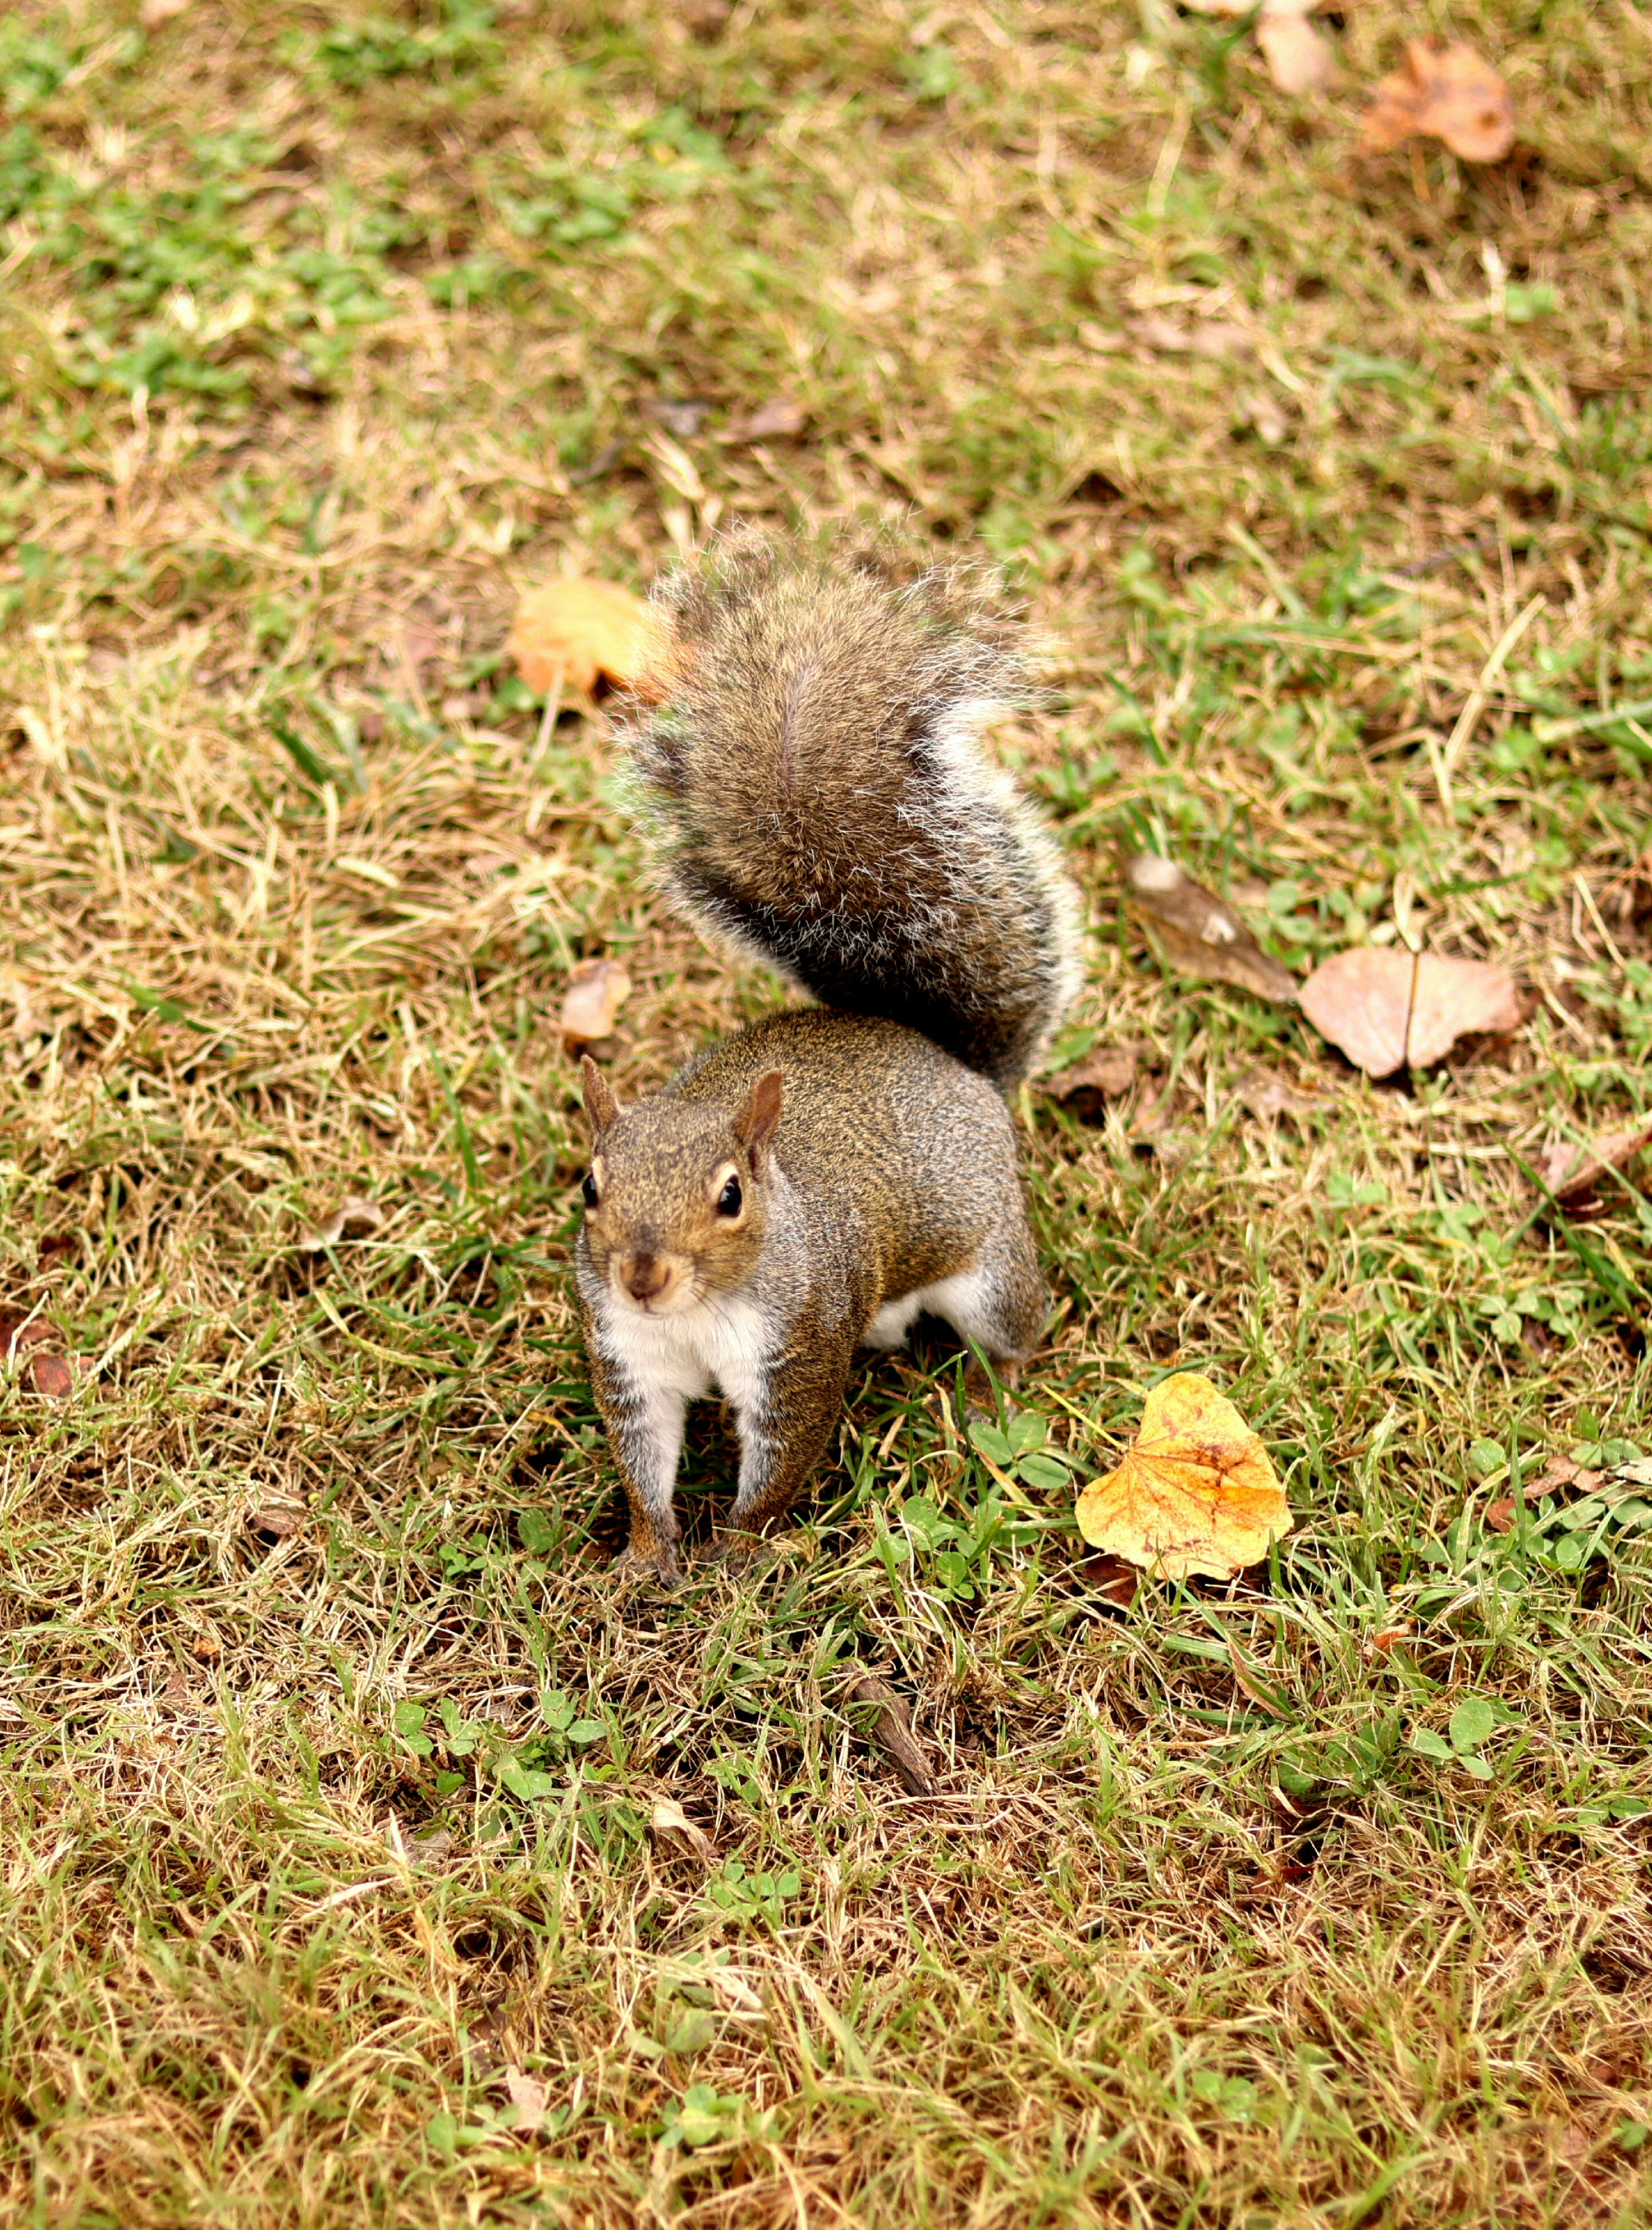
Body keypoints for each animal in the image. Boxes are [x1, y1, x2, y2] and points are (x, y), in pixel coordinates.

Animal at [575, 532, 1083, 1583]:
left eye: (731, 1195)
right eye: (590, 1185)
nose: (642, 1277)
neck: (693, 1313)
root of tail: (955, 1066)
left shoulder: (799, 1348)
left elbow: (781, 1460)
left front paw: (736, 1558)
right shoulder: (628, 1354)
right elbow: (642, 1458)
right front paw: (644, 1558)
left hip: (988, 1260)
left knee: (1017, 1328)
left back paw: (992, 1392)